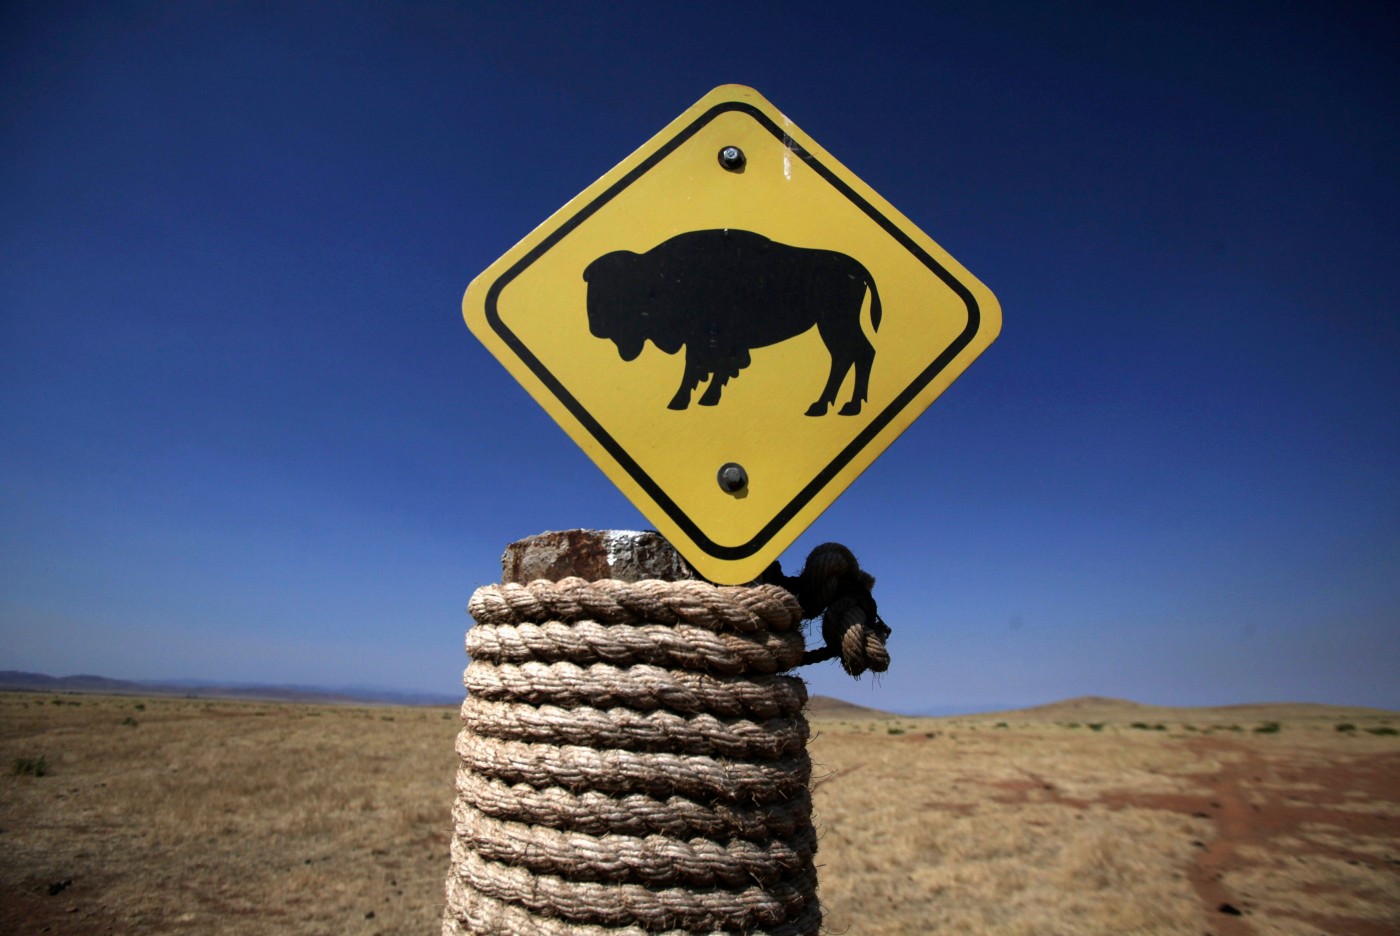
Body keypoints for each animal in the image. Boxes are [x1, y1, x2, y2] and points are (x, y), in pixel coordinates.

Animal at [582, 229, 881, 415]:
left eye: (611, 290)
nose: (594, 325)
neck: (660, 276)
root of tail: (858, 268)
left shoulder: (708, 340)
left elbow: (701, 368)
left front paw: (682, 401)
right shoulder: (712, 341)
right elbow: (716, 368)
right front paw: (704, 399)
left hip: (835, 322)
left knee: (859, 353)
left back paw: (846, 406)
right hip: (831, 324)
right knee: (848, 356)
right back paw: (826, 406)